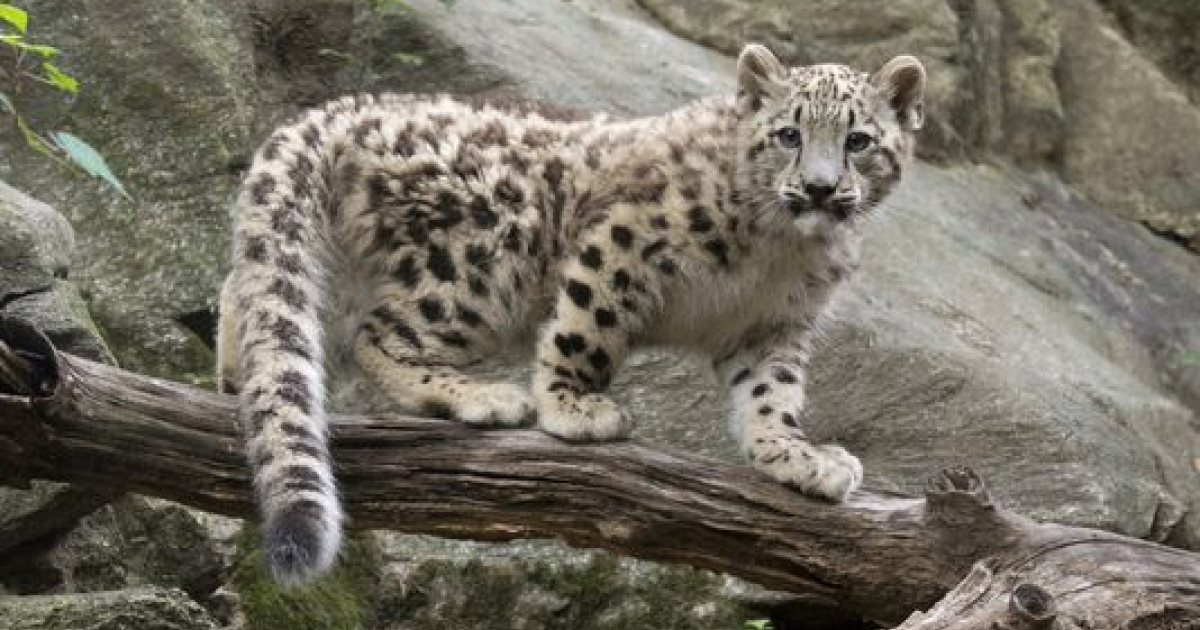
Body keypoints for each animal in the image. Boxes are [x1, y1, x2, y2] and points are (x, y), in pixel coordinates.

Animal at [215, 43, 926, 583]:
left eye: (859, 140)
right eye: (789, 134)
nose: (820, 188)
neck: (780, 252)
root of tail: (348, 107)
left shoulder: (773, 325)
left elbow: (770, 394)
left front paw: (794, 455)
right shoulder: (623, 245)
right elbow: (586, 331)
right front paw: (573, 408)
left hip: (330, 259)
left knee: (256, 292)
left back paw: (235, 377)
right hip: (474, 268)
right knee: (375, 336)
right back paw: (484, 397)